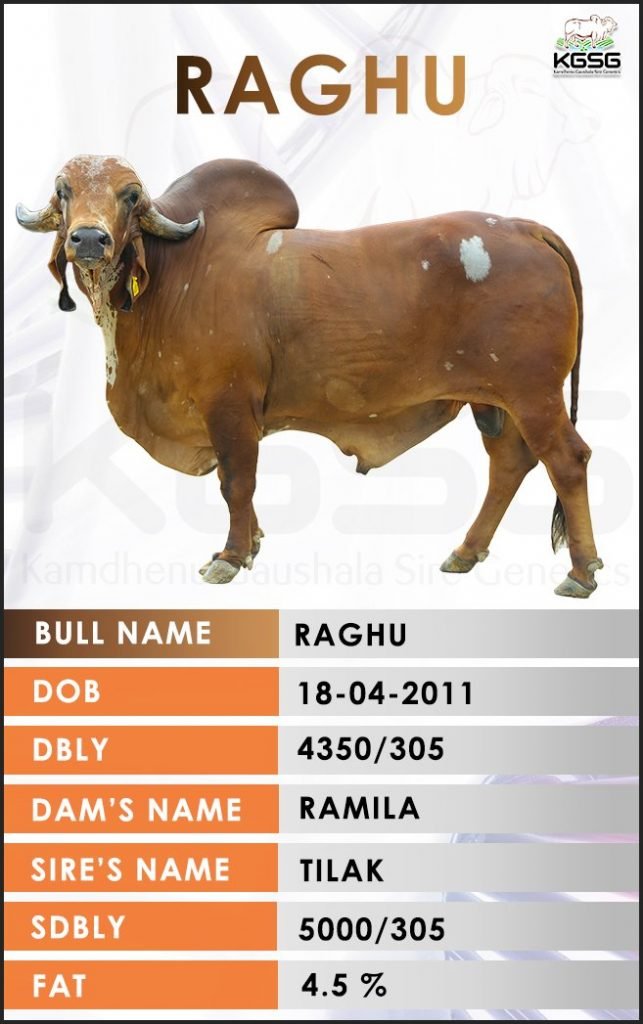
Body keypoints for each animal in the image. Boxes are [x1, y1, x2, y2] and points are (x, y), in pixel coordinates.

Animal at [16, 155, 603, 597]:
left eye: (131, 195)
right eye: (63, 191)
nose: (88, 240)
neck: (175, 276)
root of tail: (529, 227)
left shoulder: (229, 406)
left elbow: (236, 481)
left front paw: (230, 556)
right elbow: (239, 485)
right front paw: (251, 544)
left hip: (534, 394)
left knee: (567, 460)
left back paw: (580, 573)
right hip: (494, 401)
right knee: (509, 464)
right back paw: (466, 551)